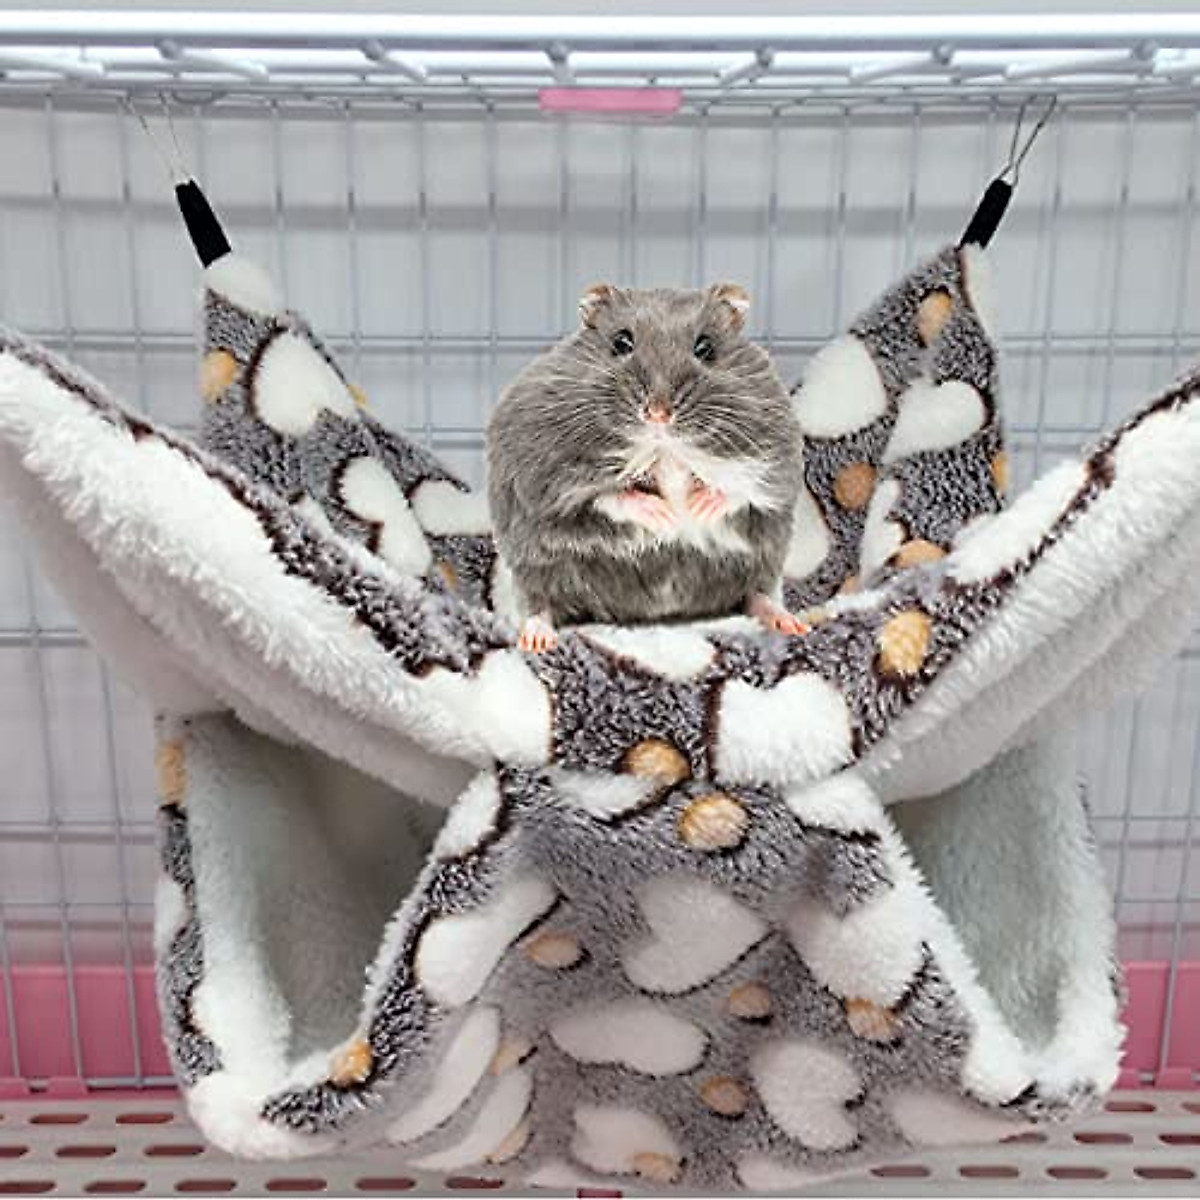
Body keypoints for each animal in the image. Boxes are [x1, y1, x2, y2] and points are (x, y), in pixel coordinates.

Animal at [487, 281, 806, 652]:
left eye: (705, 348)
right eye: (621, 343)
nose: (658, 414)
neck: (665, 449)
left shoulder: (779, 462)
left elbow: (745, 489)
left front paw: (695, 508)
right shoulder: (544, 476)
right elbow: (607, 496)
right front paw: (666, 516)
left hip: (763, 562)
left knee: (756, 593)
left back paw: (790, 623)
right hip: (534, 564)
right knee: (540, 604)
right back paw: (537, 639)